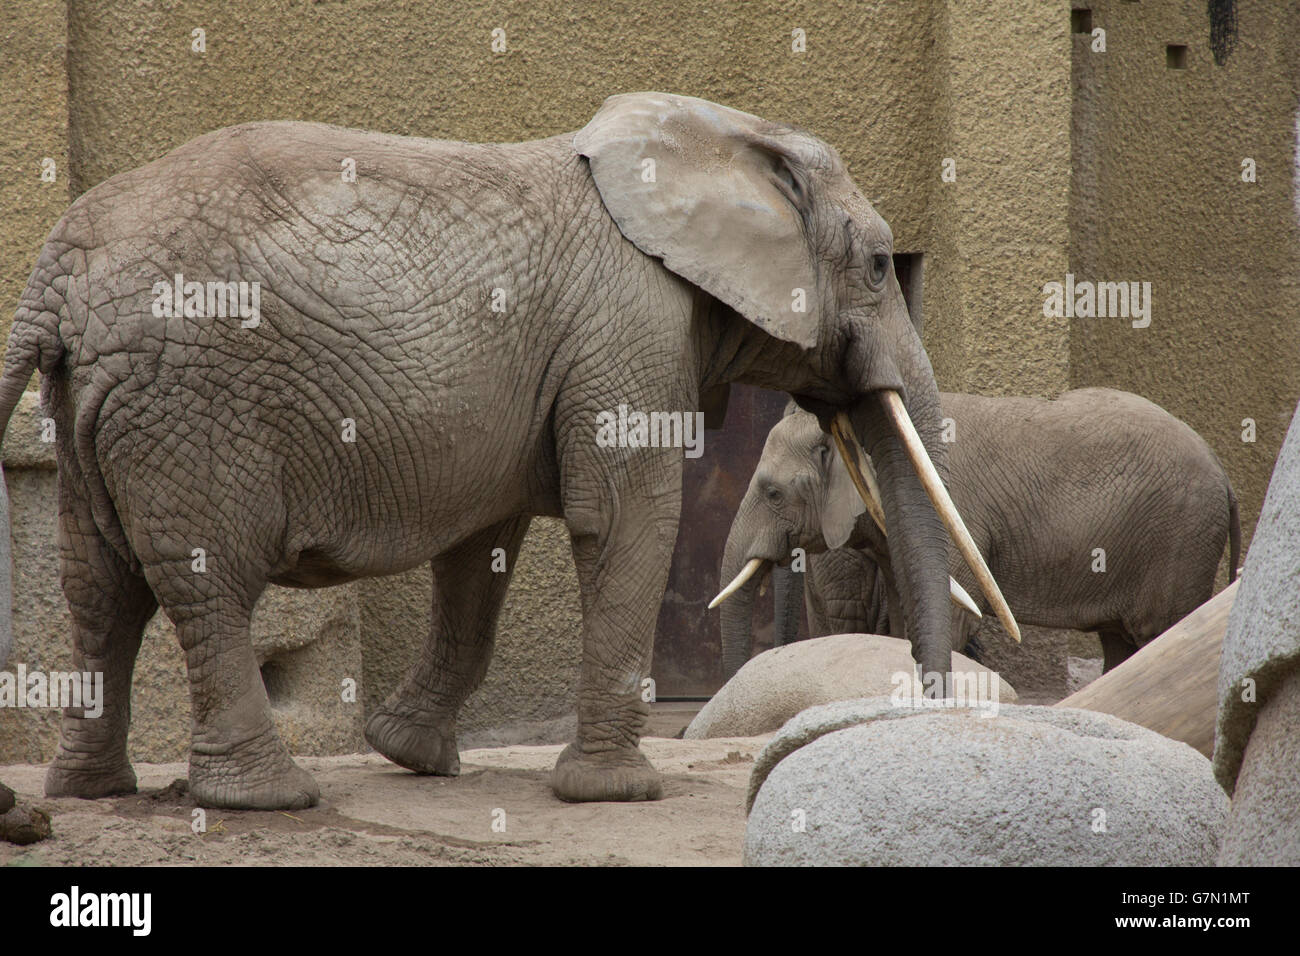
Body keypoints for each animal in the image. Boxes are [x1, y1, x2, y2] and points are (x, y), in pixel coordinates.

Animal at [0, 92, 1000, 811]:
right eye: (880, 266)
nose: (924, 708)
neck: (728, 134)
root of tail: (57, 270)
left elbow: (482, 547)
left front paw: (413, 756)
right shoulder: (627, 328)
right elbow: (627, 523)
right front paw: (614, 793)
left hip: (96, 399)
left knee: (100, 583)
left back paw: (93, 790)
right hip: (194, 405)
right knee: (207, 582)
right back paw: (268, 799)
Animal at [717, 389, 1240, 681]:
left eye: (772, 493)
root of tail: (1224, 472)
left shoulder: (951, 509)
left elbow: (948, 615)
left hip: (1180, 535)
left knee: (1159, 630)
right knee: (1121, 643)